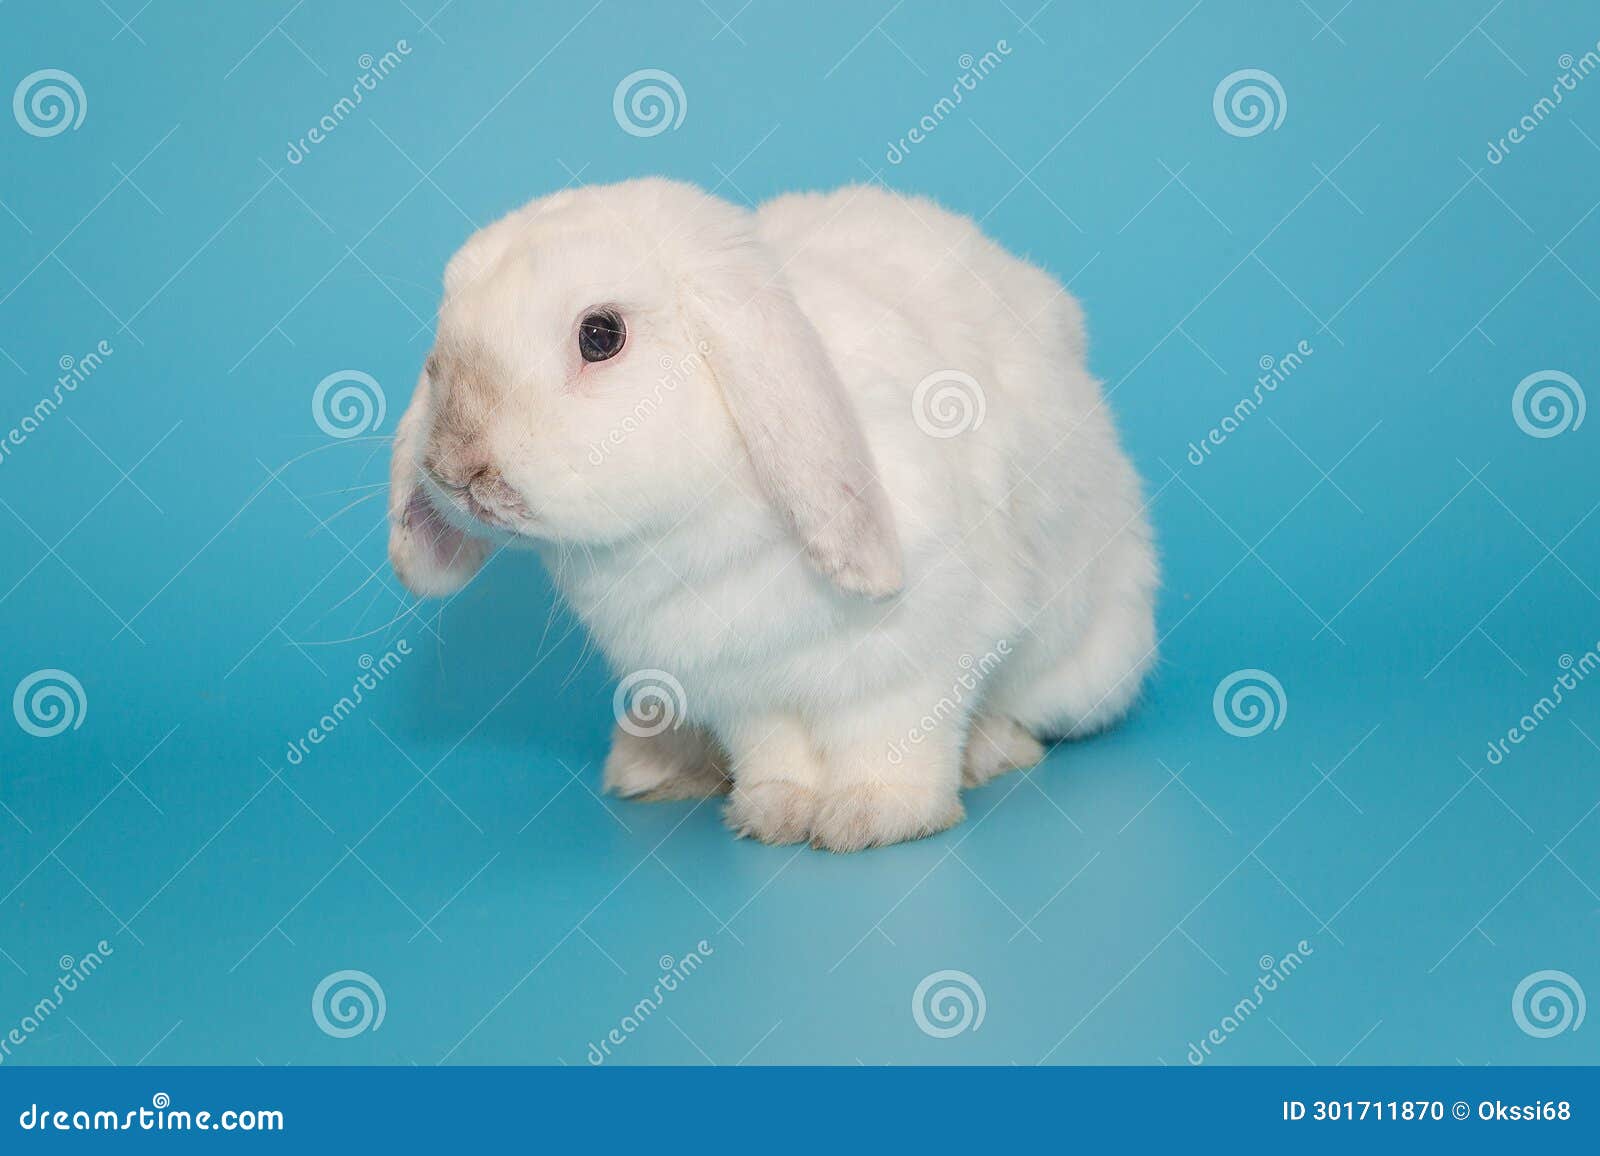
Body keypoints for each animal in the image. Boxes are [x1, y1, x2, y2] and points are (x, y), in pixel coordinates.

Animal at [388, 177, 1157, 852]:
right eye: (441, 351)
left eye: (600, 336)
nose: (455, 468)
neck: (681, 531)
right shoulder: (746, 695)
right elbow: (777, 754)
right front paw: (776, 812)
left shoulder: (911, 669)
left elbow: (889, 741)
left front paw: (869, 817)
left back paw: (989, 750)